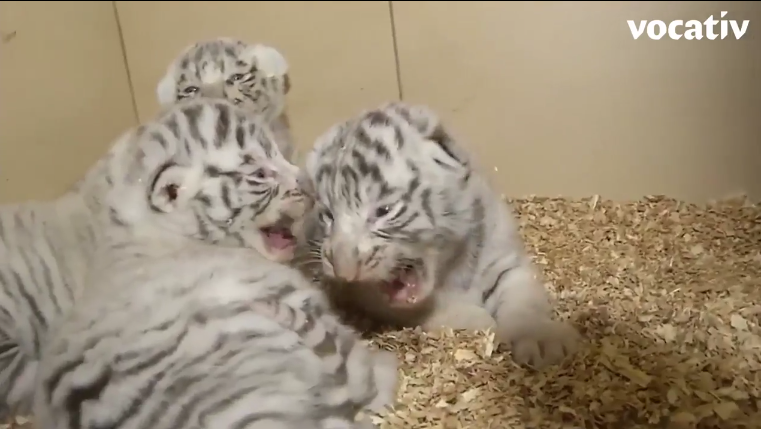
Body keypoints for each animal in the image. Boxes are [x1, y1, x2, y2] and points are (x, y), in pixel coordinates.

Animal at [33, 97, 399, 429]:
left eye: (278, 152)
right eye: (260, 172)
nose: (308, 184)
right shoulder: (297, 300)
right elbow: (356, 361)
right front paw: (384, 372)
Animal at [297, 101, 581, 369]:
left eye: (383, 211)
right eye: (328, 215)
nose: (342, 270)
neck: (451, 267)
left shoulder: (508, 263)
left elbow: (525, 301)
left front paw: (541, 339)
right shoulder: (371, 297)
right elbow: (433, 309)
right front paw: (480, 320)